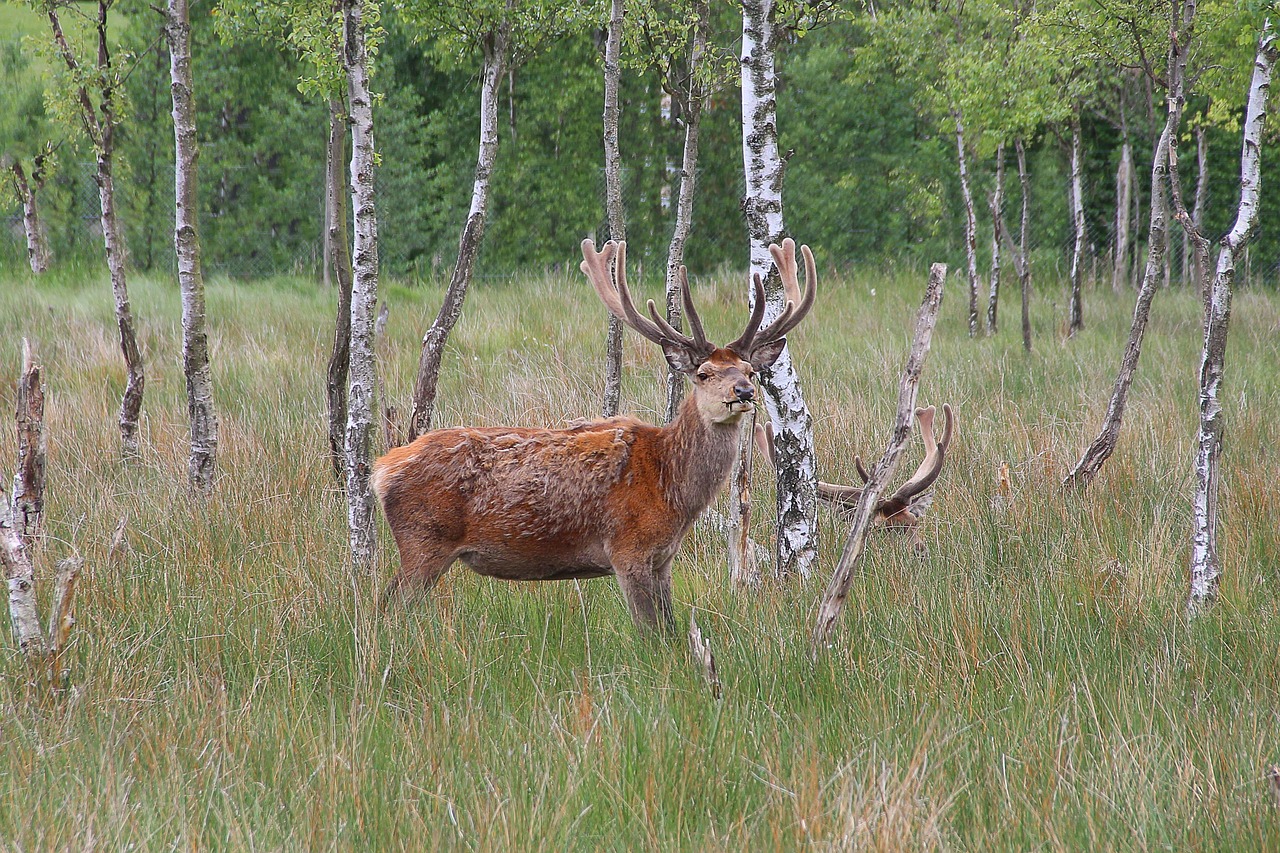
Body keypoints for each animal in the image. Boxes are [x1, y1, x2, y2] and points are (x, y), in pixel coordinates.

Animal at [372, 237, 816, 631]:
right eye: (703, 373)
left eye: (750, 371)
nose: (743, 392)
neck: (670, 487)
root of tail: (382, 468)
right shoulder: (628, 549)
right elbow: (652, 634)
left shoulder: (663, 558)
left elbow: (671, 629)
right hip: (423, 541)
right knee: (387, 607)